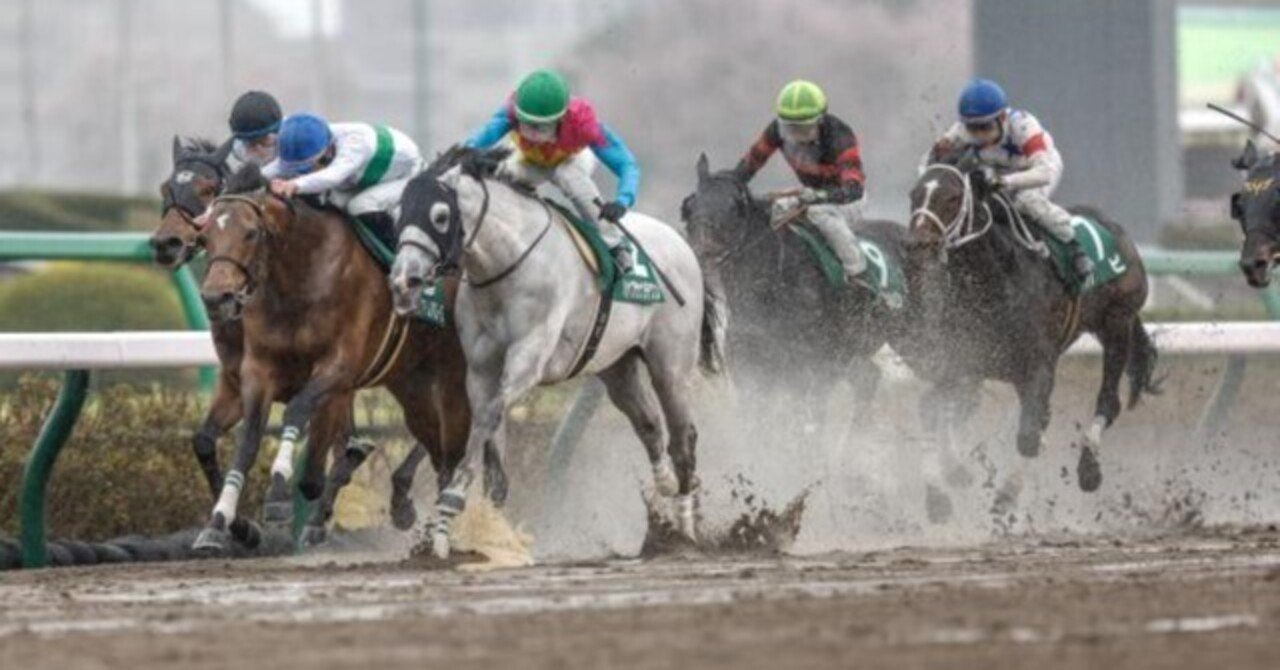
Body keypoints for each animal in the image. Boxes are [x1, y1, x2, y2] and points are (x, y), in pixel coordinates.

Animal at [191, 163, 491, 553]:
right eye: (205, 235)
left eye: (251, 233)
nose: (216, 298)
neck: (300, 277)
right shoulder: (254, 373)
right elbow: (243, 441)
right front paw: (222, 524)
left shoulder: (337, 369)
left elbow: (299, 419)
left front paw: (278, 495)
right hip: (411, 384)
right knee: (435, 444)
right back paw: (409, 513)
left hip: (454, 377)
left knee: (452, 448)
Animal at [389, 146, 719, 558]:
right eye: (400, 212)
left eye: (439, 215)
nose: (403, 280)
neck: (506, 267)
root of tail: (682, 243)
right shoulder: (480, 369)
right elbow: (484, 425)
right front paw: (478, 522)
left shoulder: (527, 362)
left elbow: (488, 418)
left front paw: (451, 505)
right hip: (617, 366)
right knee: (649, 426)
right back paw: (666, 488)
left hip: (670, 364)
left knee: (683, 438)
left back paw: (685, 529)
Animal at [680, 154, 908, 432]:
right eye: (690, 205)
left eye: (735, 205)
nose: (699, 252)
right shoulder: (751, 368)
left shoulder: (810, 367)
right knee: (868, 378)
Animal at [906, 154, 1159, 493]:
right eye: (914, 195)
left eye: (953, 197)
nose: (916, 245)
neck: (995, 283)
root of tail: (1117, 230)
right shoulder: (964, 363)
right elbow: (929, 409)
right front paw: (949, 477)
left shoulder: (1038, 367)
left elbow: (1028, 437)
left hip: (1117, 324)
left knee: (1108, 401)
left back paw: (1089, 469)